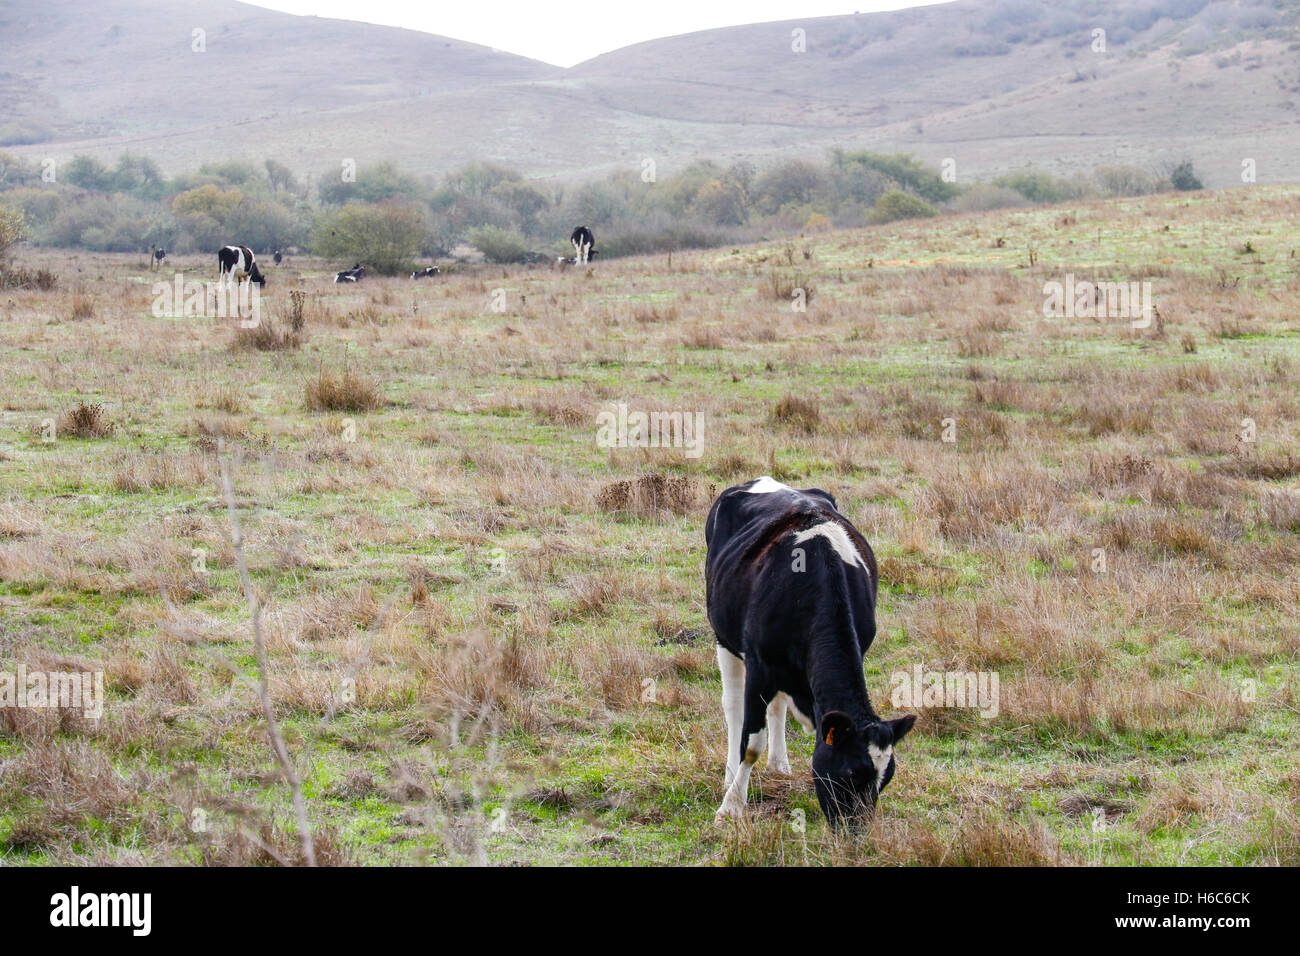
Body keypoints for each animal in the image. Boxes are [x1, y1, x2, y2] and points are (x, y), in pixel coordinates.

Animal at [705, 476, 917, 829]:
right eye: (849, 774)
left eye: (884, 780)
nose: (856, 832)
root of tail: (763, 480)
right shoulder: (759, 665)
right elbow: (751, 744)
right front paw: (731, 807)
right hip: (725, 638)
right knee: (733, 706)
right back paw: (730, 774)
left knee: (777, 706)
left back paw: (779, 765)